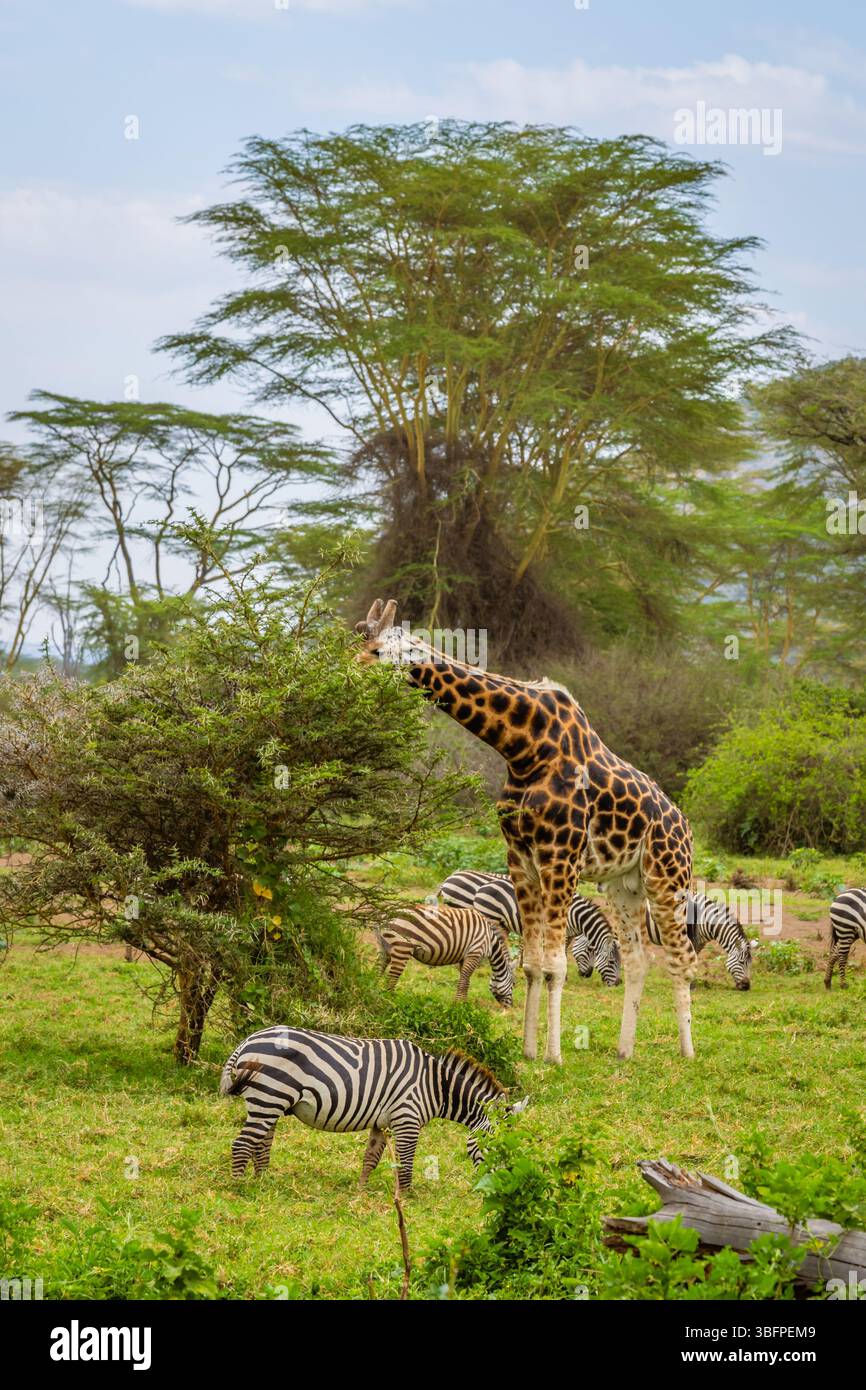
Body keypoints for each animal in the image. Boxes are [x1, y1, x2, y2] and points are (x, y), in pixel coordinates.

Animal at [220, 1026, 509, 1189]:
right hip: (269, 1097)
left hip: (270, 1101)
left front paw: (360, 1191)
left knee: (260, 1144)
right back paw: (239, 1187)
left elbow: (371, 1158)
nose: (497, 1187)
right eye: (493, 1147)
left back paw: (262, 1180)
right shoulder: (407, 1118)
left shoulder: (383, 1123)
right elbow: (406, 1162)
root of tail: (246, 1041)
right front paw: (407, 1196)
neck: (434, 1086)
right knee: (242, 1145)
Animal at [376, 903, 514, 1005]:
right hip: (402, 948)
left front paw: (463, 1005)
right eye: (514, 984)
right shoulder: (475, 953)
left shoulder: (465, 957)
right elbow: (463, 981)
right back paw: (390, 1001)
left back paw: (374, 991)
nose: (509, 1008)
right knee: (391, 978)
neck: (490, 940)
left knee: (378, 970)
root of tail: (384, 914)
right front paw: (457, 1006)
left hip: (384, 948)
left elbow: (466, 982)